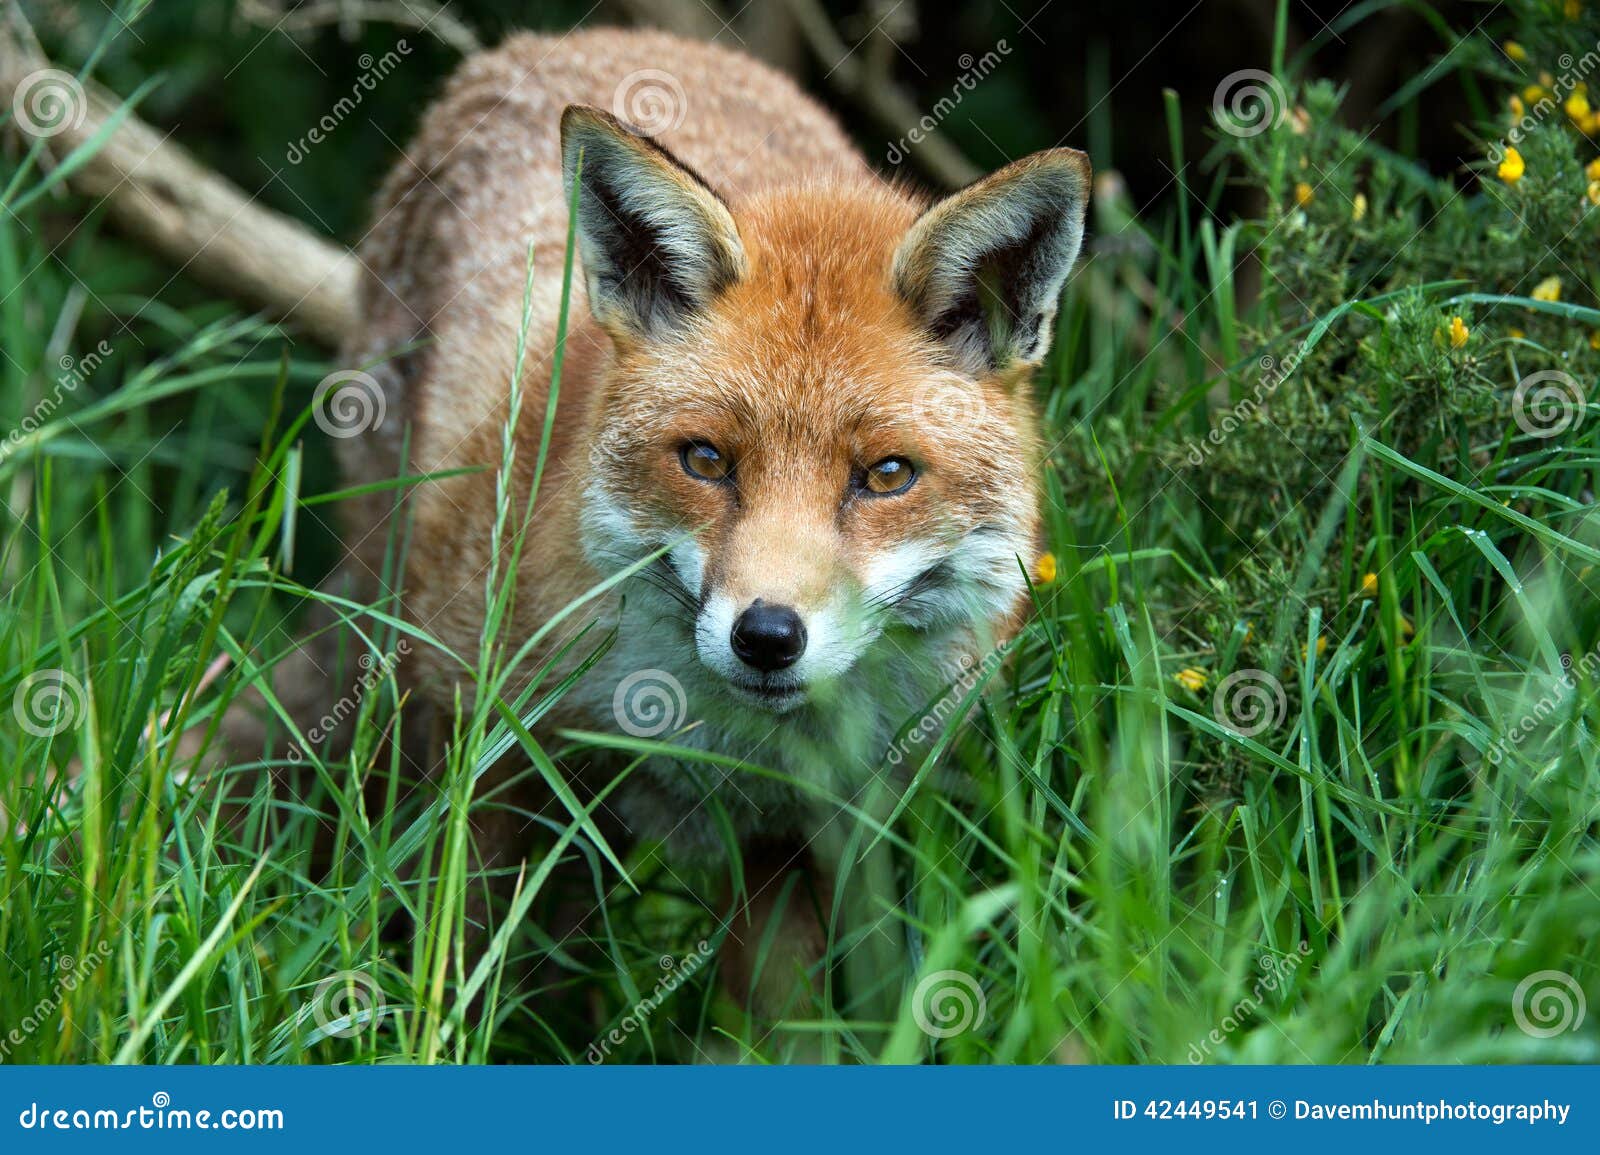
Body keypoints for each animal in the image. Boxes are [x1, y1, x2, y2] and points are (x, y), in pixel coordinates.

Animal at [292, 26, 1090, 1017]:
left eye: (886, 475)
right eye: (706, 460)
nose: (768, 635)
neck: (703, 738)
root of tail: (569, 37)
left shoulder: (802, 838)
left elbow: (783, 1027)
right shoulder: (488, 750)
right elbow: (459, 975)